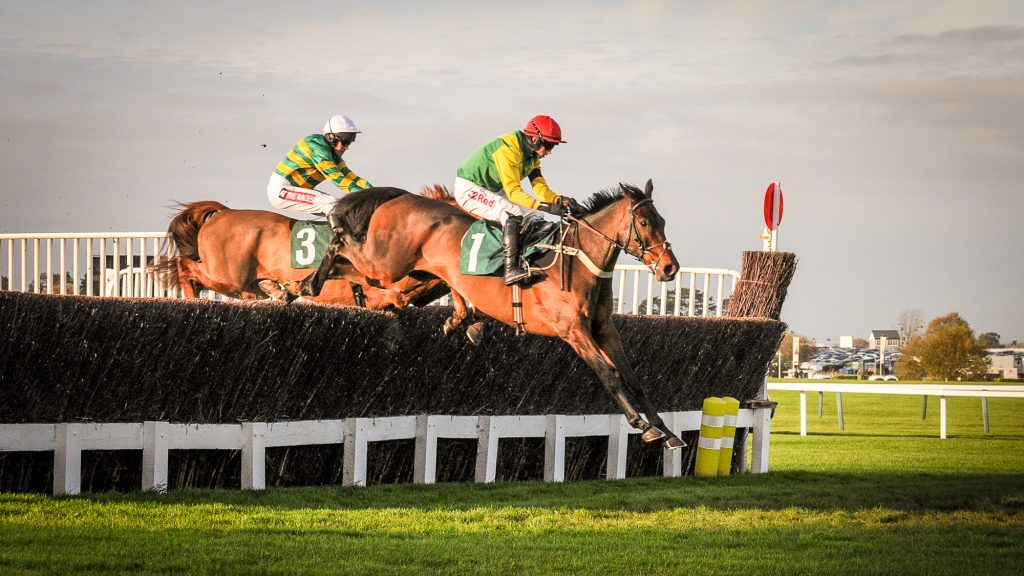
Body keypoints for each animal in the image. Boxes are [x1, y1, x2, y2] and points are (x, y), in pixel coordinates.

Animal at [302, 181, 686, 449]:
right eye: (643, 222)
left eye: (663, 220)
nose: (670, 268)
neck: (577, 260)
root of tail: (402, 197)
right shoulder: (573, 330)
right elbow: (610, 375)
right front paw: (644, 426)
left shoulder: (604, 328)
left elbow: (633, 377)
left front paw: (667, 432)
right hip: (387, 264)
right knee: (343, 247)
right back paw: (307, 281)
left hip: (415, 274)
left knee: (361, 273)